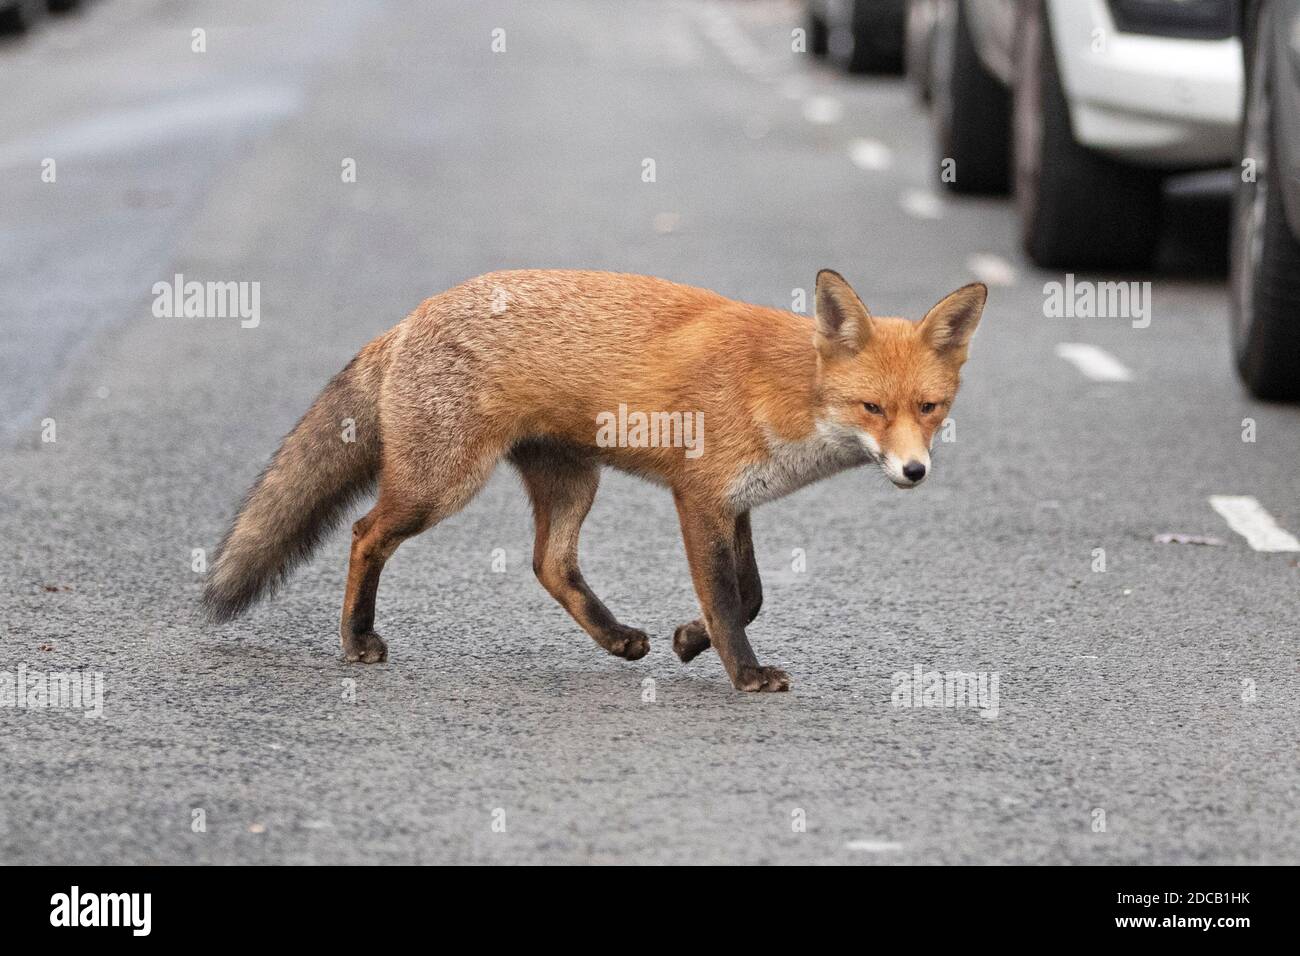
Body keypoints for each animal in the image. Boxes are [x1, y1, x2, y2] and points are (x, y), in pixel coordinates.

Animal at [202, 269, 987, 692]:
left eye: (929, 407)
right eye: (872, 408)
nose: (914, 470)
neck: (785, 392)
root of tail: (407, 319)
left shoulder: (736, 503)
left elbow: (751, 595)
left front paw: (687, 639)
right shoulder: (699, 496)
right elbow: (730, 601)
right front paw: (742, 673)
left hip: (573, 483)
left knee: (549, 563)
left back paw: (617, 639)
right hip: (441, 485)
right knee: (366, 533)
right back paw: (357, 638)